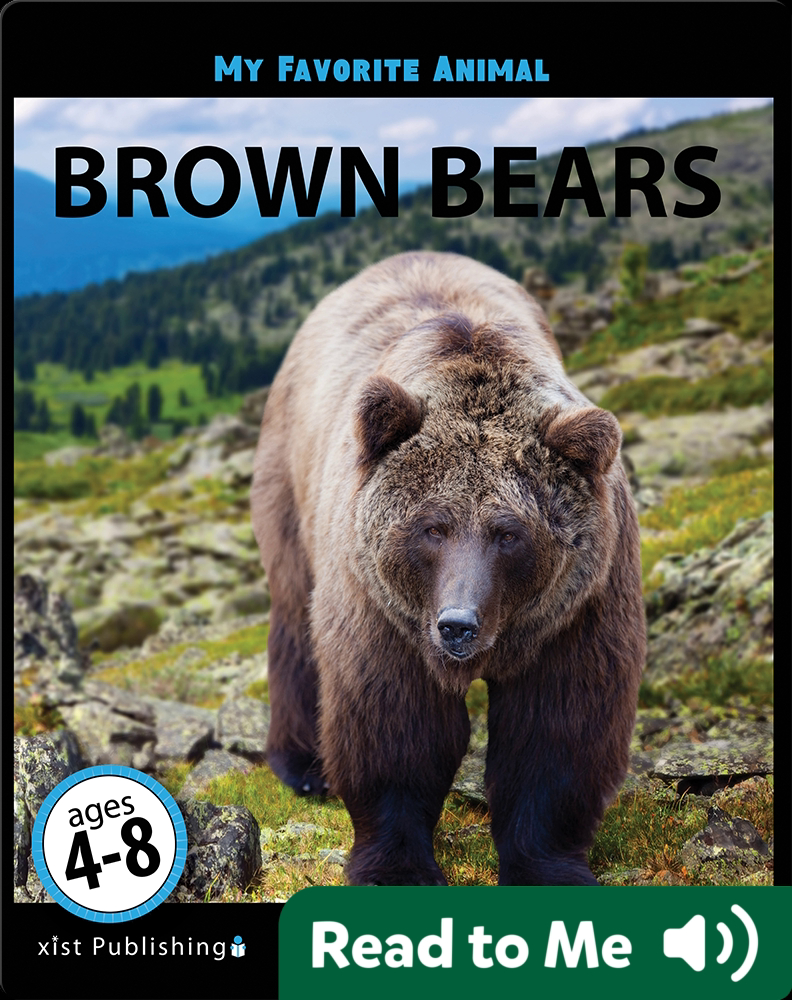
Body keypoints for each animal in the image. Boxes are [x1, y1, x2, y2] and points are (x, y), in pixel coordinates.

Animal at [251, 251, 646, 886]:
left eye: (509, 533)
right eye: (432, 526)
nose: (457, 624)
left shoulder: (578, 605)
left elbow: (558, 728)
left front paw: (548, 866)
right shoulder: (384, 606)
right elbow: (396, 722)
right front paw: (398, 866)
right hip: (292, 481)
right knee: (295, 614)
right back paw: (304, 765)